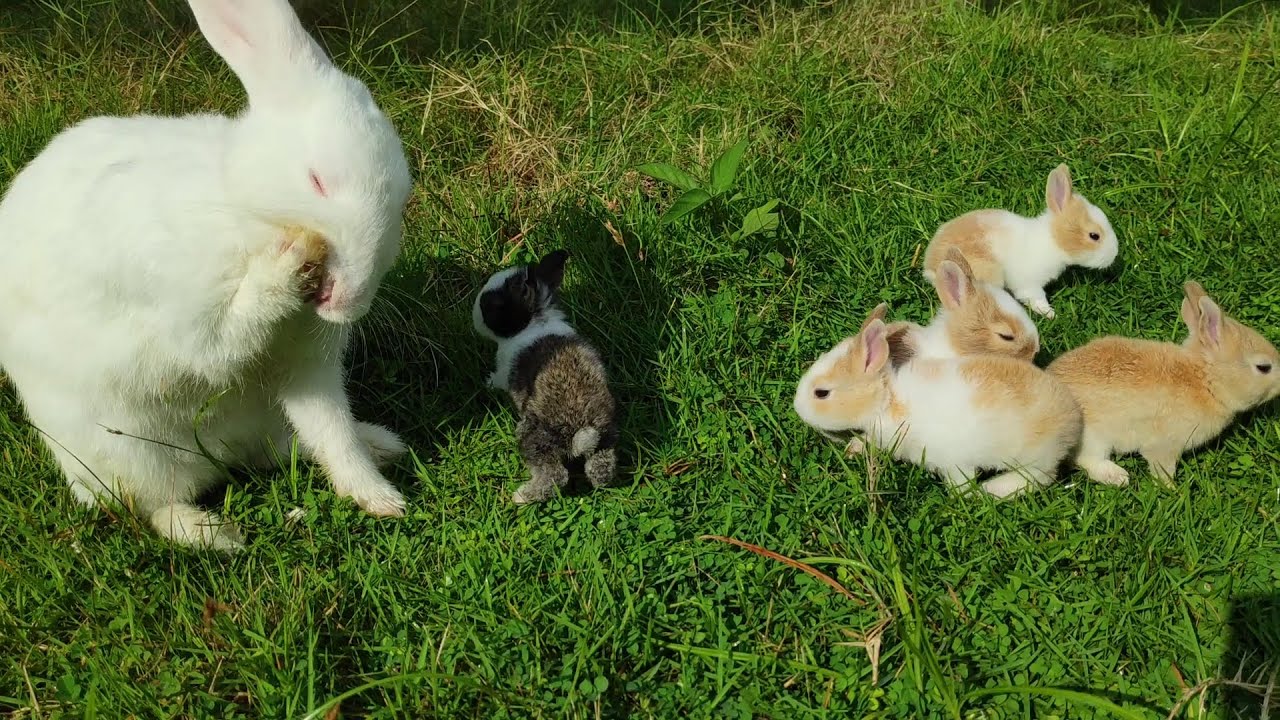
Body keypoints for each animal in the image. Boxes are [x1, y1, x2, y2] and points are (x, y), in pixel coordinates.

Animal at [0, 0, 414, 551]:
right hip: (126, 454)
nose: (349, 300)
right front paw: (285, 266)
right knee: (153, 509)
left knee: (288, 445)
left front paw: (382, 500)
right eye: (317, 182)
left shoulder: (307, 365)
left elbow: (332, 430)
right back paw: (218, 534)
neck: (240, 211)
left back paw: (382, 443)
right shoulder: (191, 318)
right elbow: (224, 339)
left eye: (403, 197)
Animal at [473, 249, 619, 504]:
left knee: (555, 476)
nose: (474, 317)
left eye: (490, 305)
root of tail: (582, 429)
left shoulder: (504, 370)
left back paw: (521, 496)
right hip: (606, 437)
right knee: (602, 467)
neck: (534, 320)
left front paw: (487, 382)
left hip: (533, 437)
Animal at [794, 304, 1082, 498]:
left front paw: (961, 497)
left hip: (1037, 456)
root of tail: (1073, 418)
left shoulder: (953, 460)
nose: (797, 408)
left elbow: (960, 481)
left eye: (821, 393)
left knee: (1039, 478)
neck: (887, 401)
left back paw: (994, 489)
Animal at [922, 164, 1119, 320]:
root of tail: (930, 265)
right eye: (1094, 236)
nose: (1115, 254)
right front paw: (1051, 314)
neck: (1053, 241)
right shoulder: (1029, 284)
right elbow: (1035, 298)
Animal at [1047, 281, 1280, 488]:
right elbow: (1162, 467)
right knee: (1087, 459)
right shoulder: (1164, 445)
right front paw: (1172, 489)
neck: (1206, 381)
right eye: (1263, 367)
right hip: (1092, 437)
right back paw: (1119, 477)